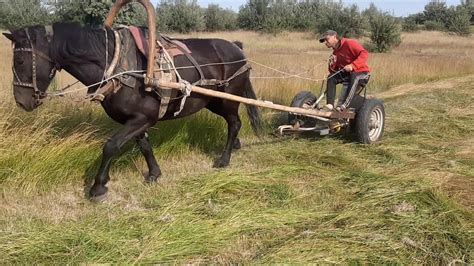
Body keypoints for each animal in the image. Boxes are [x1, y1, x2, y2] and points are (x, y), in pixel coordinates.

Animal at [2, 23, 262, 201]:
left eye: (20, 61)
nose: (21, 101)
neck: (118, 68)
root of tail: (236, 47)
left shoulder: (141, 118)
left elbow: (111, 146)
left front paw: (98, 186)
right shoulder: (137, 120)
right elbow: (144, 146)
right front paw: (154, 173)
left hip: (227, 99)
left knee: (235, 123)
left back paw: (224, 159)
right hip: (213, 102)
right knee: (233, 123)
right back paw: (235, 145)